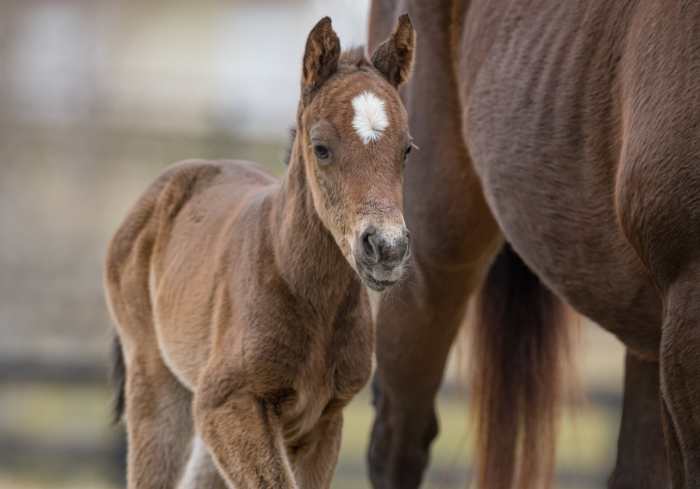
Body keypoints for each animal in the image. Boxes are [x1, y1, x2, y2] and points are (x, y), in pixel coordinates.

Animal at [104, 16, 416, 489]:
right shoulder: (229, 403)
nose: (386, 247)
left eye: (407, 150)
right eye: (321, 147)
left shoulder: (325, 420)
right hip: (156, 380)